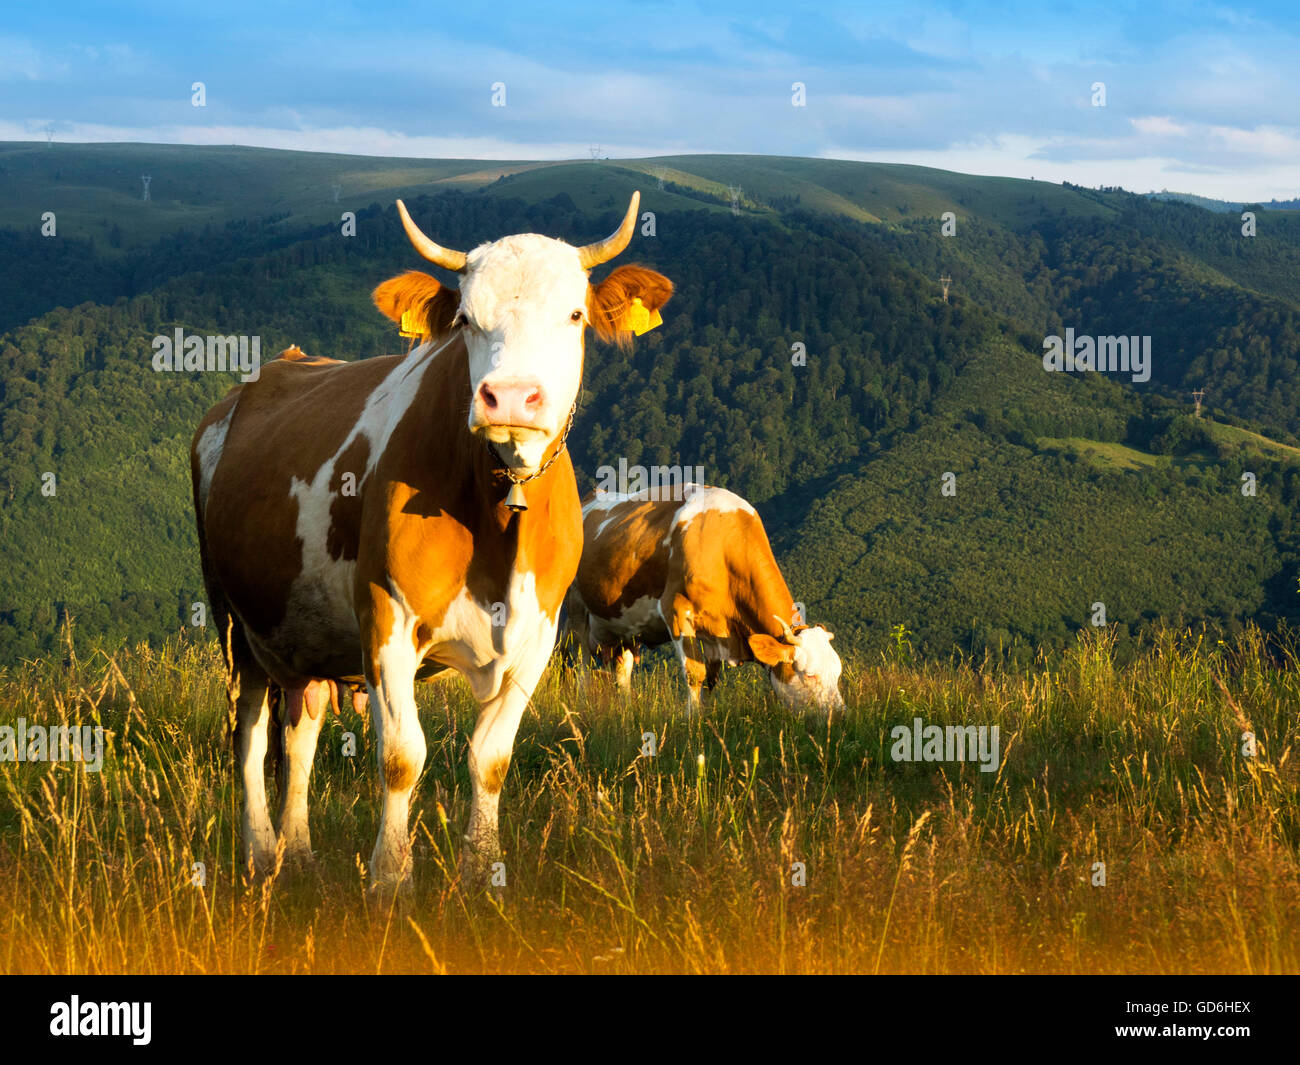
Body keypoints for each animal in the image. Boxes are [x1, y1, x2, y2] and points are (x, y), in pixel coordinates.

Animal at [190, 193, 673, 890]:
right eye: (466, 319)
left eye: (575, 313)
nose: (509, 398)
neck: (497, 524)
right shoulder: (387, 617)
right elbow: (401, 757)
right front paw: (389, 880)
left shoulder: (538, 635)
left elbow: (491, 759)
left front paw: (481, 872)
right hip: (236, 619)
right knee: (250, 732)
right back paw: (259, 853)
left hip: (301, 630)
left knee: (301, 725)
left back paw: (299, 855)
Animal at [565, 484, 844, 712]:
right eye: (810, 675)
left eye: (838, 672)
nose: (839, 715)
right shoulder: (675, 610)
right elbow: (695, 675)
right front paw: (691, 724)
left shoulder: (716, 631)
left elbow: (711, 681)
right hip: (577, 610)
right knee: (581, 666)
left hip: (625, 628)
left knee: (622, 673)